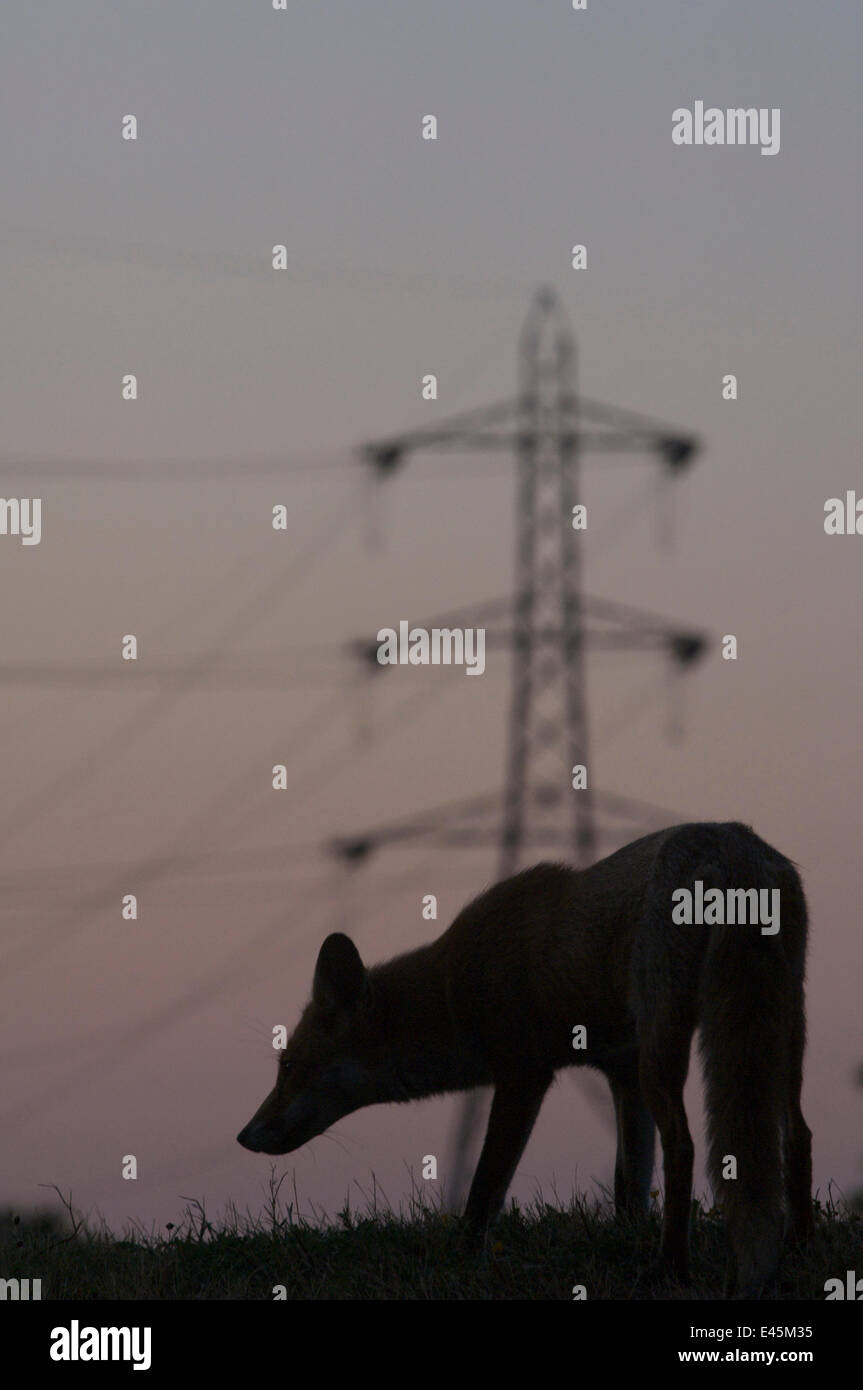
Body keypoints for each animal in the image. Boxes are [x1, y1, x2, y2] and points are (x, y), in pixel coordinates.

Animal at [237, 820, 813, 1297]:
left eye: (287, 1067)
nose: (245, 1135)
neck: (452, 991)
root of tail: (733, 844)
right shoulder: (621, 1071)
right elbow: (627, 1185)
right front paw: (623, 1242)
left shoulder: (524, 1075)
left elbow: (485, 1186)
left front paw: (462, 1256)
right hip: (781, 1035)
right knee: (798, 1135)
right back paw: (796, 1252)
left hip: (665, 1044)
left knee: (686, 1146)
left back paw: (671, 1267)